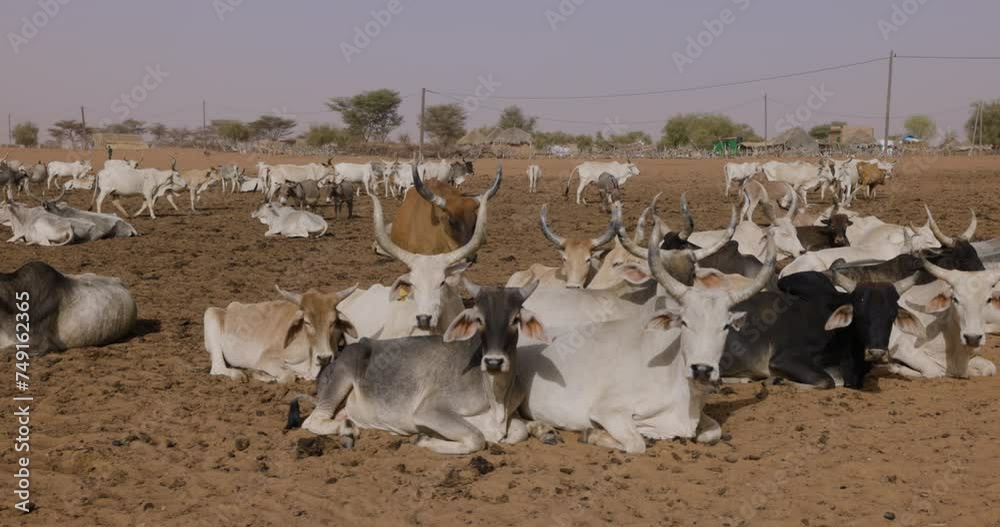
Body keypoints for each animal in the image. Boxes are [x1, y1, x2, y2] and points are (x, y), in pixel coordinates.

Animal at [203, 284, 358, 382]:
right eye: (307, 322)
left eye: (333, 322)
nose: (324, 358)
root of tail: (230, 308)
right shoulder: (266, 359)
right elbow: (288, 376)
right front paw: (267, 377)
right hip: (210, 315)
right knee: (217, 367)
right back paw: (238, 374)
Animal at [289, 280, 549, 454]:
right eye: (479, 320)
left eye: (515, 319)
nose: (494, 361)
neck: (496, 396)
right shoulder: (428, 410)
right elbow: (477, 439)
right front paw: (423, 439)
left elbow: (518, 431)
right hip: (340, 380)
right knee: (313, 420)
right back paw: (347, 430)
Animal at [515, 222, 776, 453]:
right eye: (684, 322)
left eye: (725, 326)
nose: (702, 369)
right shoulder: (608, 410)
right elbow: (636, 443)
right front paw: (593, 434)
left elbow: (714, 432)